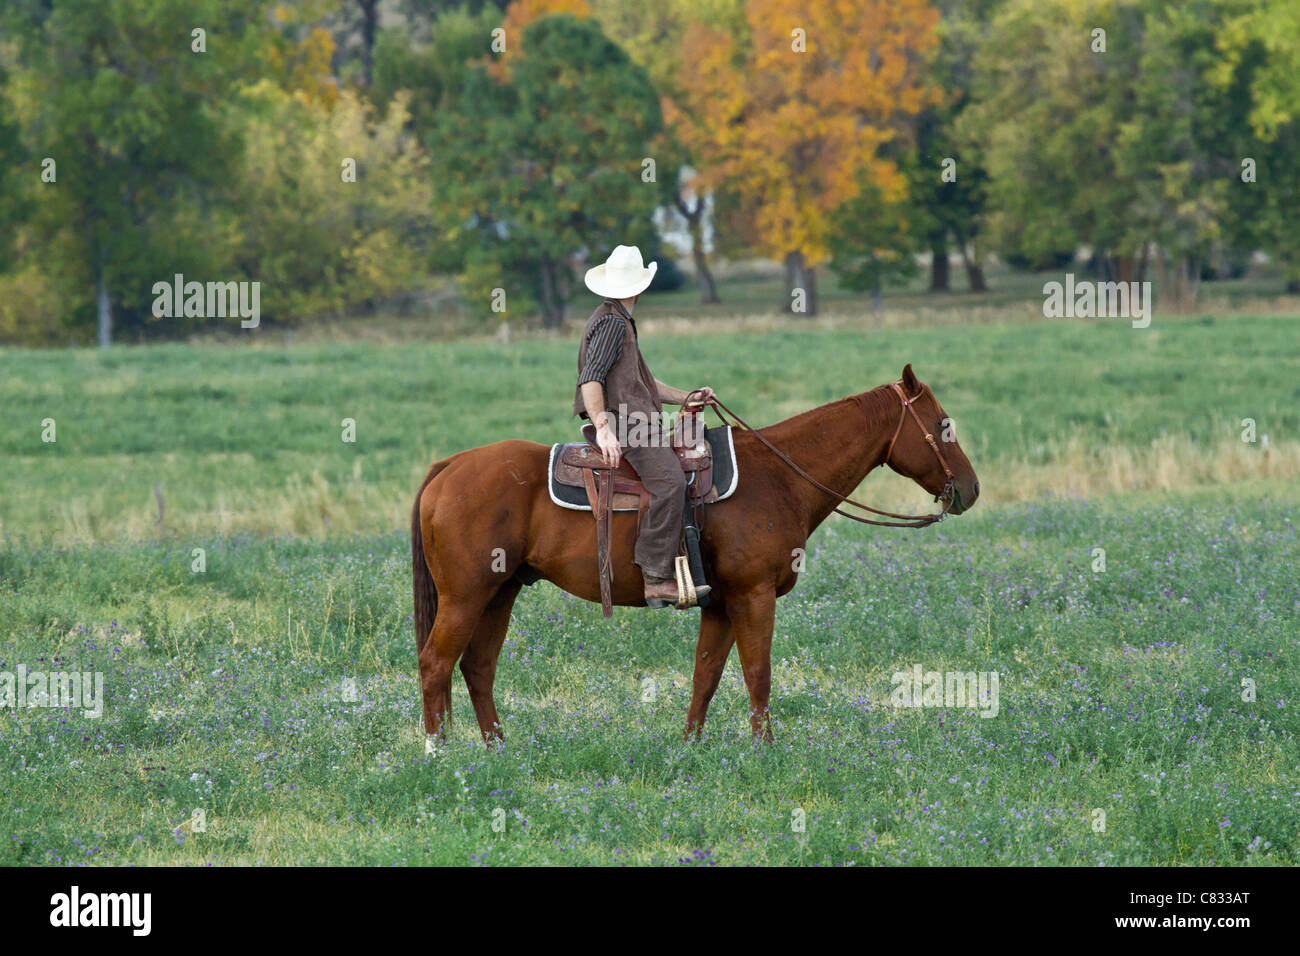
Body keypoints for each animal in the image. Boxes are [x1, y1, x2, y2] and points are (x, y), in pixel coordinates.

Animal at [411, 363, 979, 745]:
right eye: (944, 425)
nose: (971, 490)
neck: (779, 476)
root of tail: (449, 466)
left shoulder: (722, 603)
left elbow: (706, 675)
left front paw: (690, 748)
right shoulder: (753, 595)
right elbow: (757, 673)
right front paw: (765, 750)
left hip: (500, 593)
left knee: (477, 667)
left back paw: (499, 750)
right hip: (465, 596)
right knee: (436, 663)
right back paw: (440, 752)